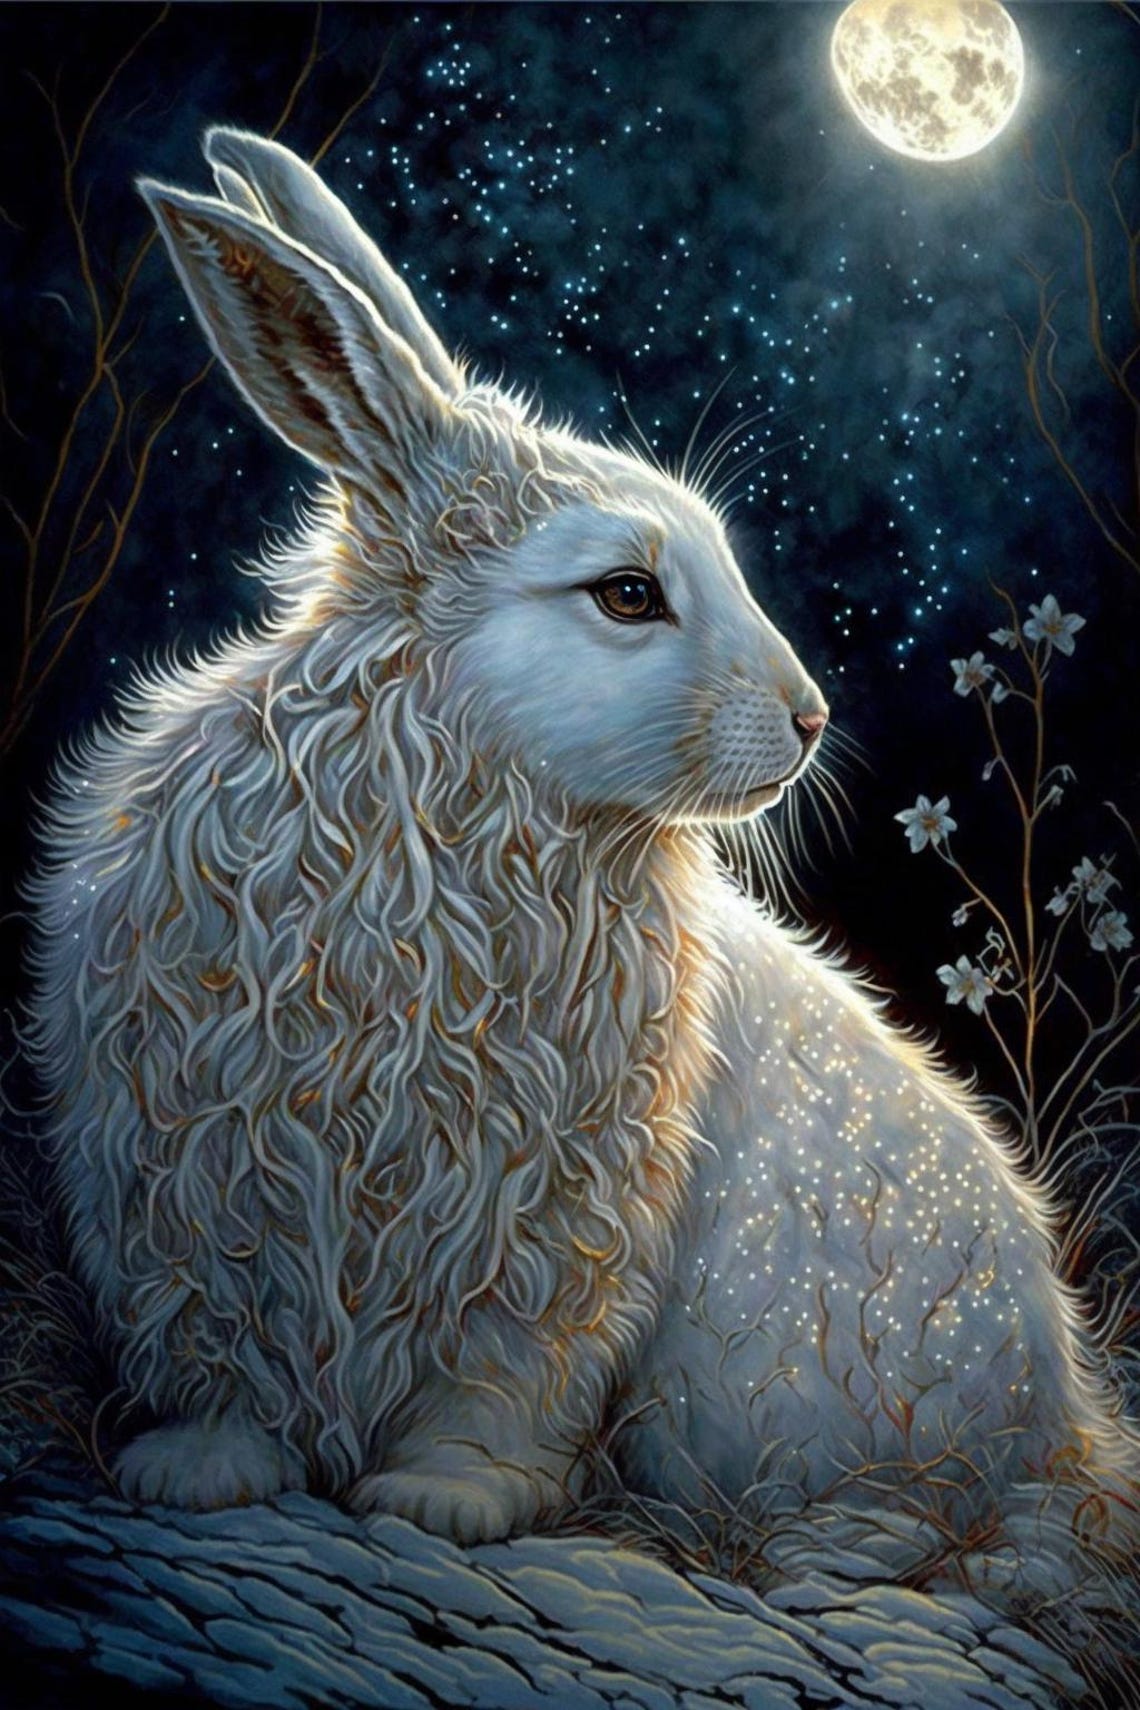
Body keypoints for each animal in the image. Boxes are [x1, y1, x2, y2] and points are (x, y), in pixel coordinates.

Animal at [26, 130, 1138, 1583]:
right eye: (626, 593)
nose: (810, 719)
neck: (470, 802)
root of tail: (1066, 1418)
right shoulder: (196, 1180)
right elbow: (227, 1353)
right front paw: (202, 1469)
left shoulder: (559, 1222)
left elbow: (506, 1378)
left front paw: (447, 1499)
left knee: (953, 1511)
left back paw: (847, 1536)